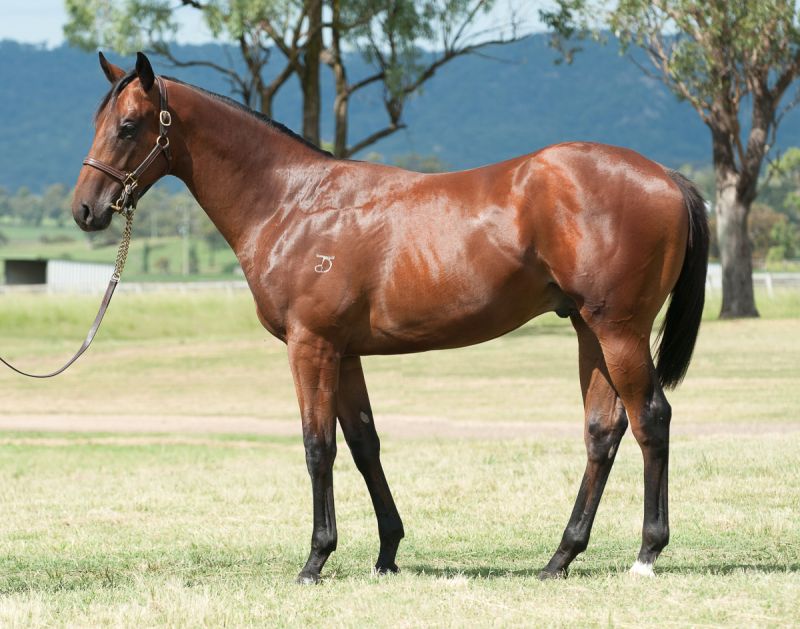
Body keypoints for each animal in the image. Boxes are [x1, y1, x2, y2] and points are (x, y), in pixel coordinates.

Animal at [72, 52, 709, 583]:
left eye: (128, 126)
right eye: (97, 122)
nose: (85, 210)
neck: (295, 204)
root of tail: (666, 176)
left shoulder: (310, 346)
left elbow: (318, 447)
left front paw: (316, 559)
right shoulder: (345, 351)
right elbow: (363, 444)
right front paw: (387, 552)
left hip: (619, 330)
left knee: (650, 419)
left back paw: (647, 553)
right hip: (588, 331)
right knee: (603, 431)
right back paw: (560, 557)